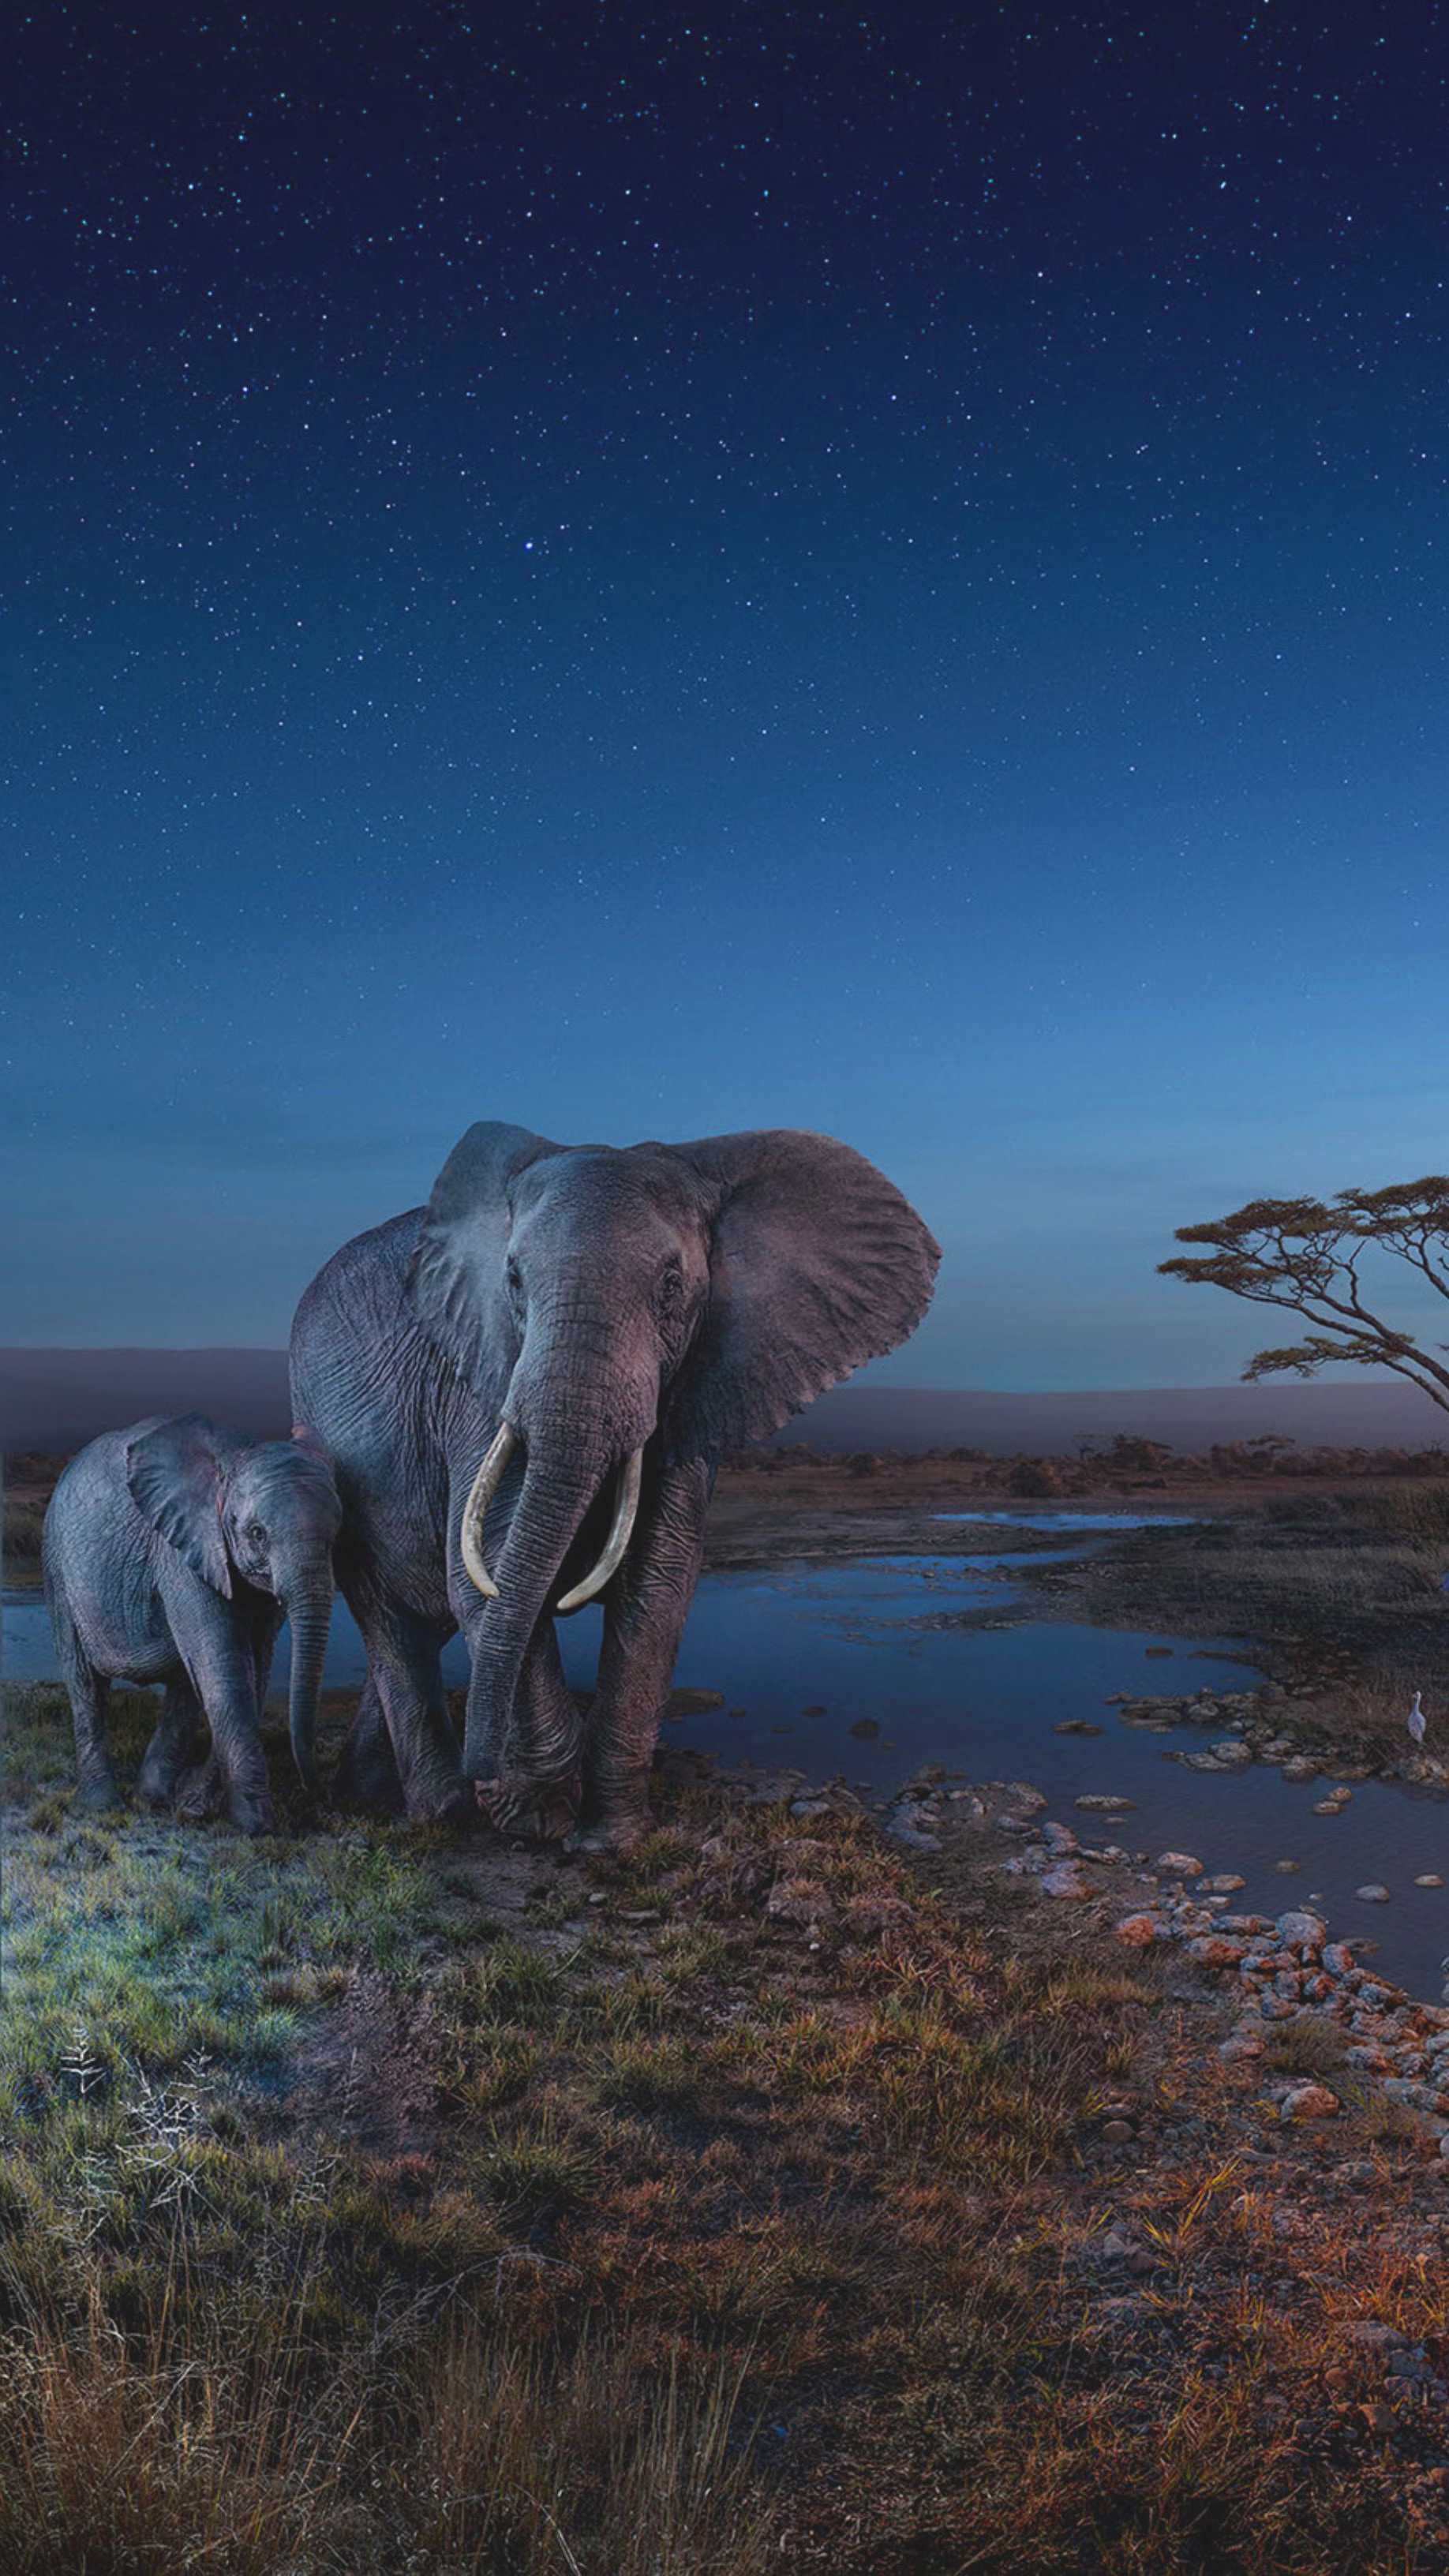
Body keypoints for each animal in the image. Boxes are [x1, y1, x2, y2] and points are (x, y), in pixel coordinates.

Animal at [42, 1413, 341, 1835]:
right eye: (257, 1534)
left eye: (337, 1535)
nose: (319, 1795)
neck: (235, 1456)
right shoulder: (181, 1550)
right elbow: (224, 1666)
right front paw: (256, 1827)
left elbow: (253, 1666)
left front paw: (195, 1807)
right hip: (58, 1568)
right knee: (84, 1680)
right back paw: (101, 1807)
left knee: (184, 1683)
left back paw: (151, 1800)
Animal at [290, 1122, 938, 1849]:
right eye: (513, 1280)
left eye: (672, 1283)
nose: (485, 1770)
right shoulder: (479, 1383)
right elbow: (487, 1579)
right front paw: (536, 1822)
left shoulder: (696, 1386)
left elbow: (659, 1587)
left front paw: (612, 1840)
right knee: (393, 1625)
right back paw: (444, 1815)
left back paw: (375, 1799)